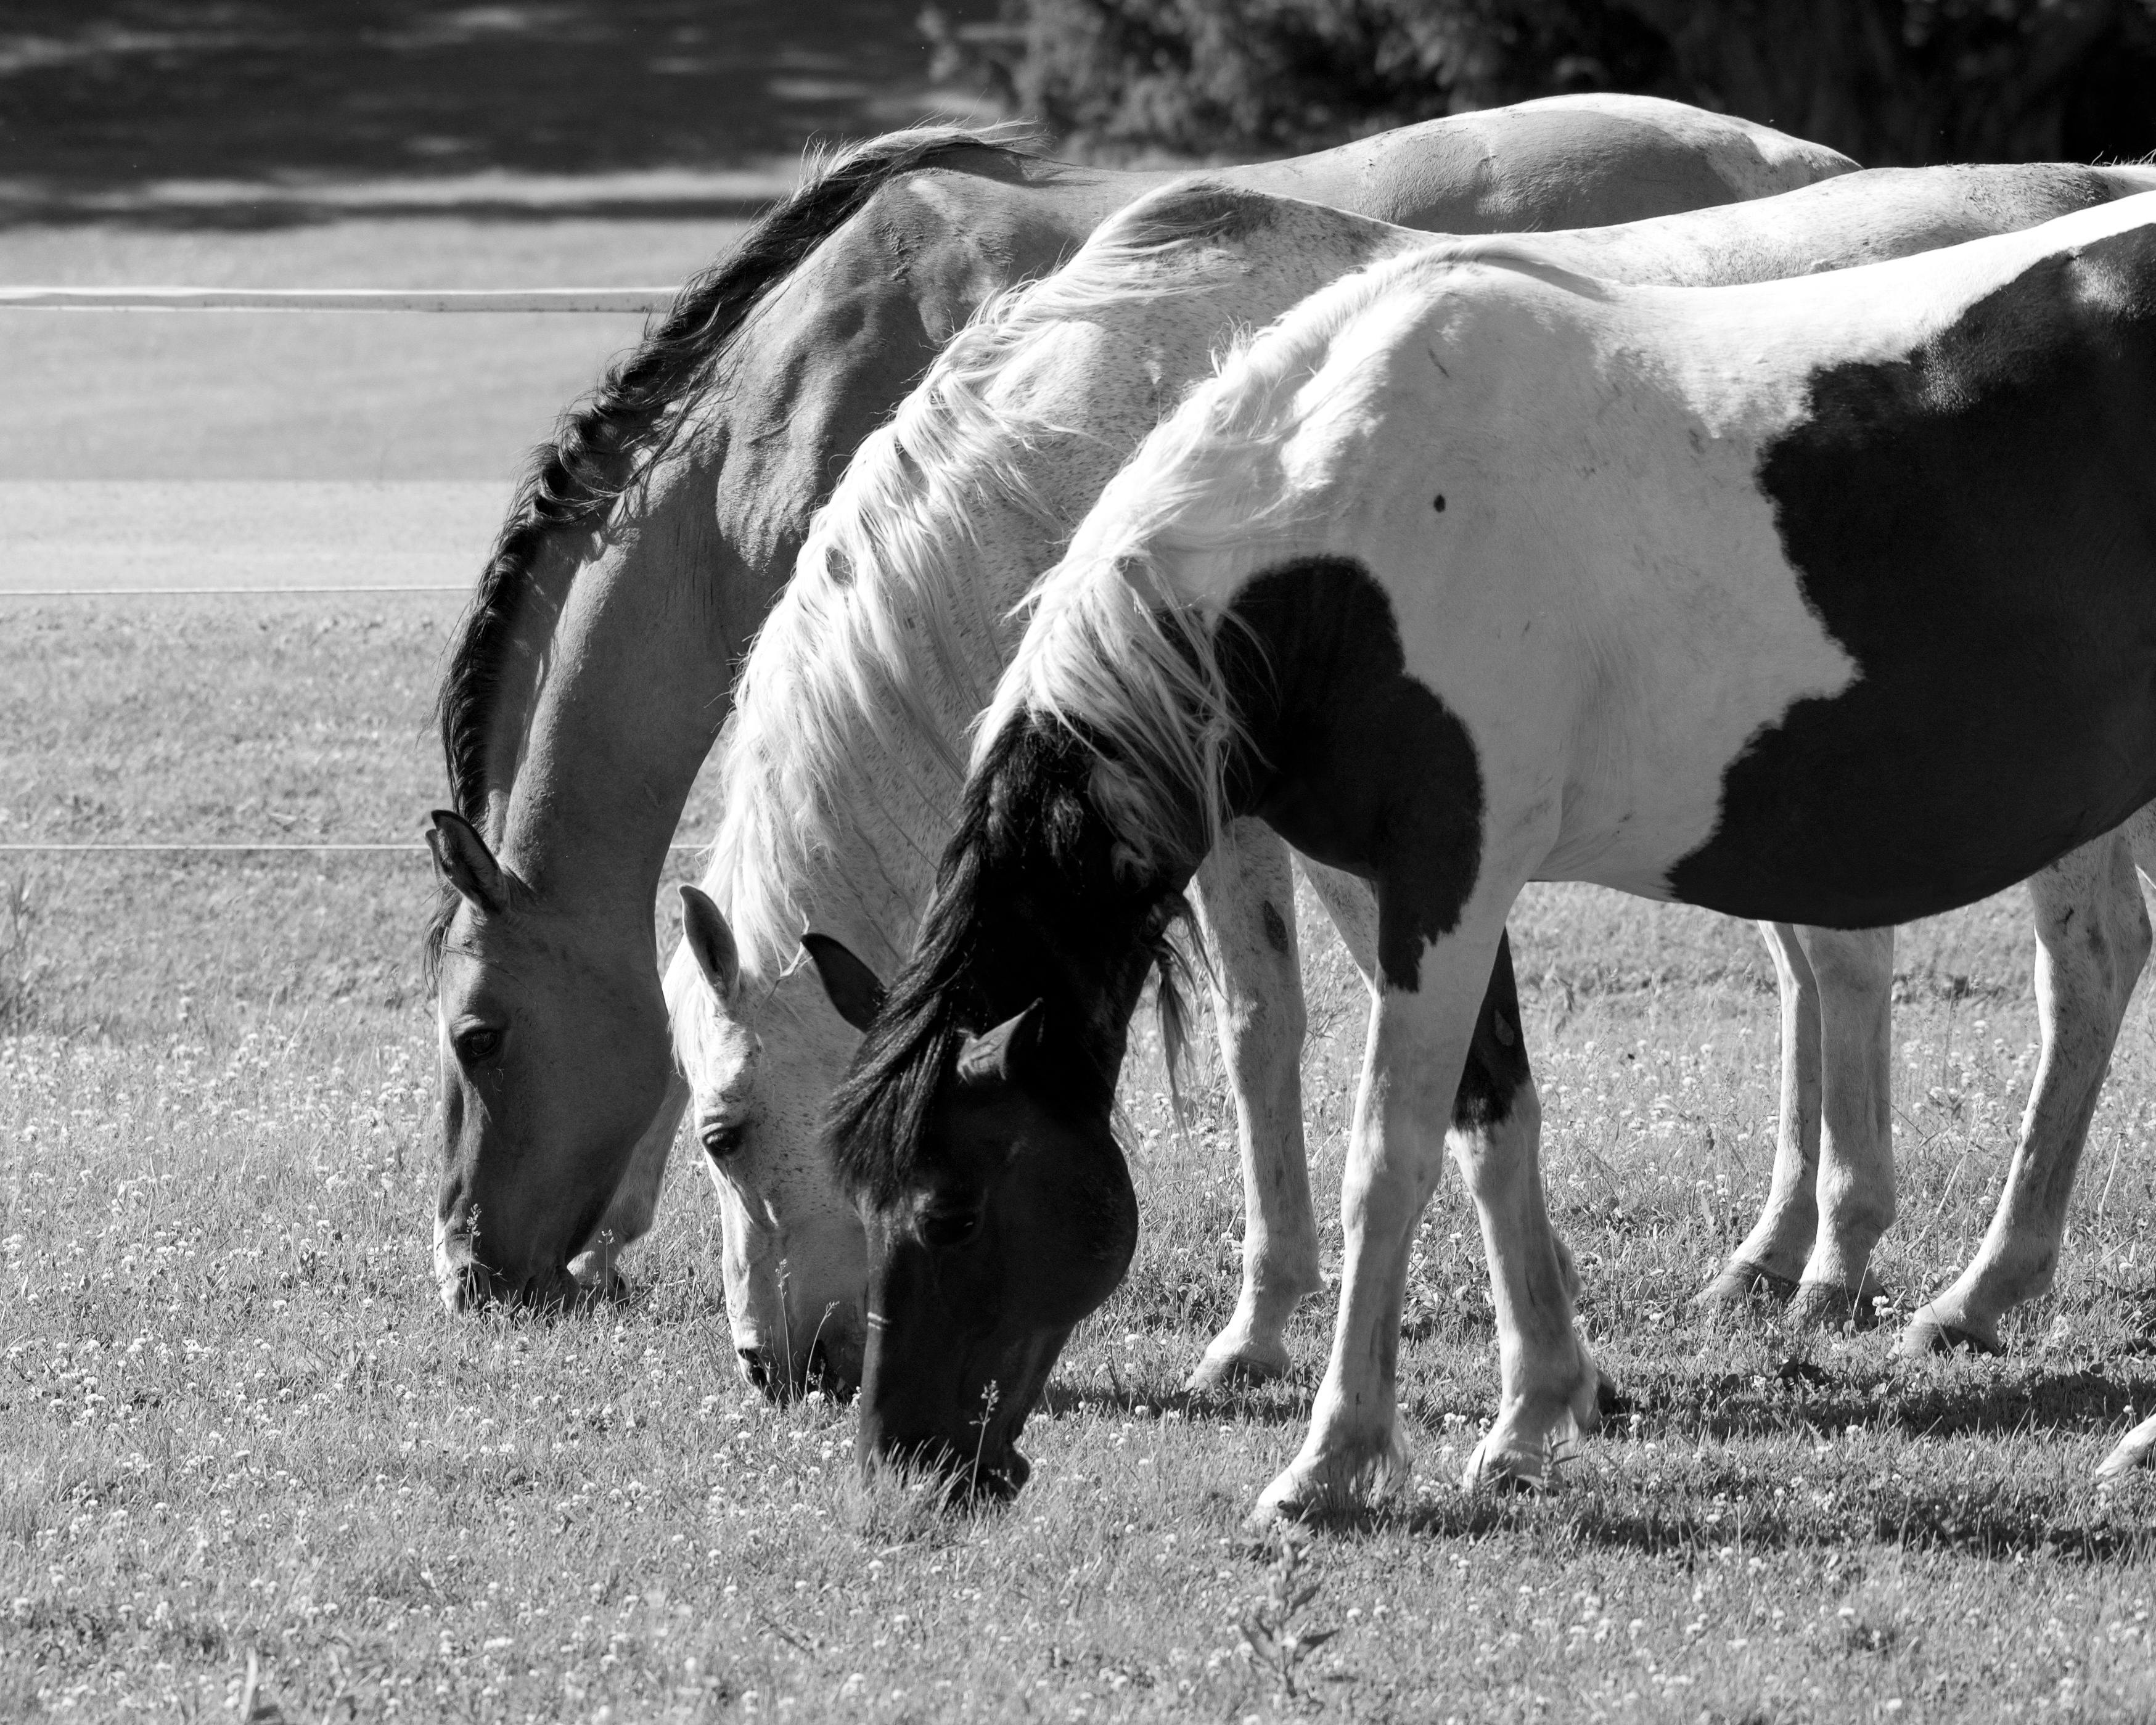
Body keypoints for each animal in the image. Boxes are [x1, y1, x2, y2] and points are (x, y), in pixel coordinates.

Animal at [674, 159, 2156, 1399]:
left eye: (723, 1132)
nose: (770, 1364)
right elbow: (1276, 1036)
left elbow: (1322, 1051)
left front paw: (1294, 1328)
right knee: (1844, 969)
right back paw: (1805, 1259)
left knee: (2082, 959)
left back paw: (1958, 1283)